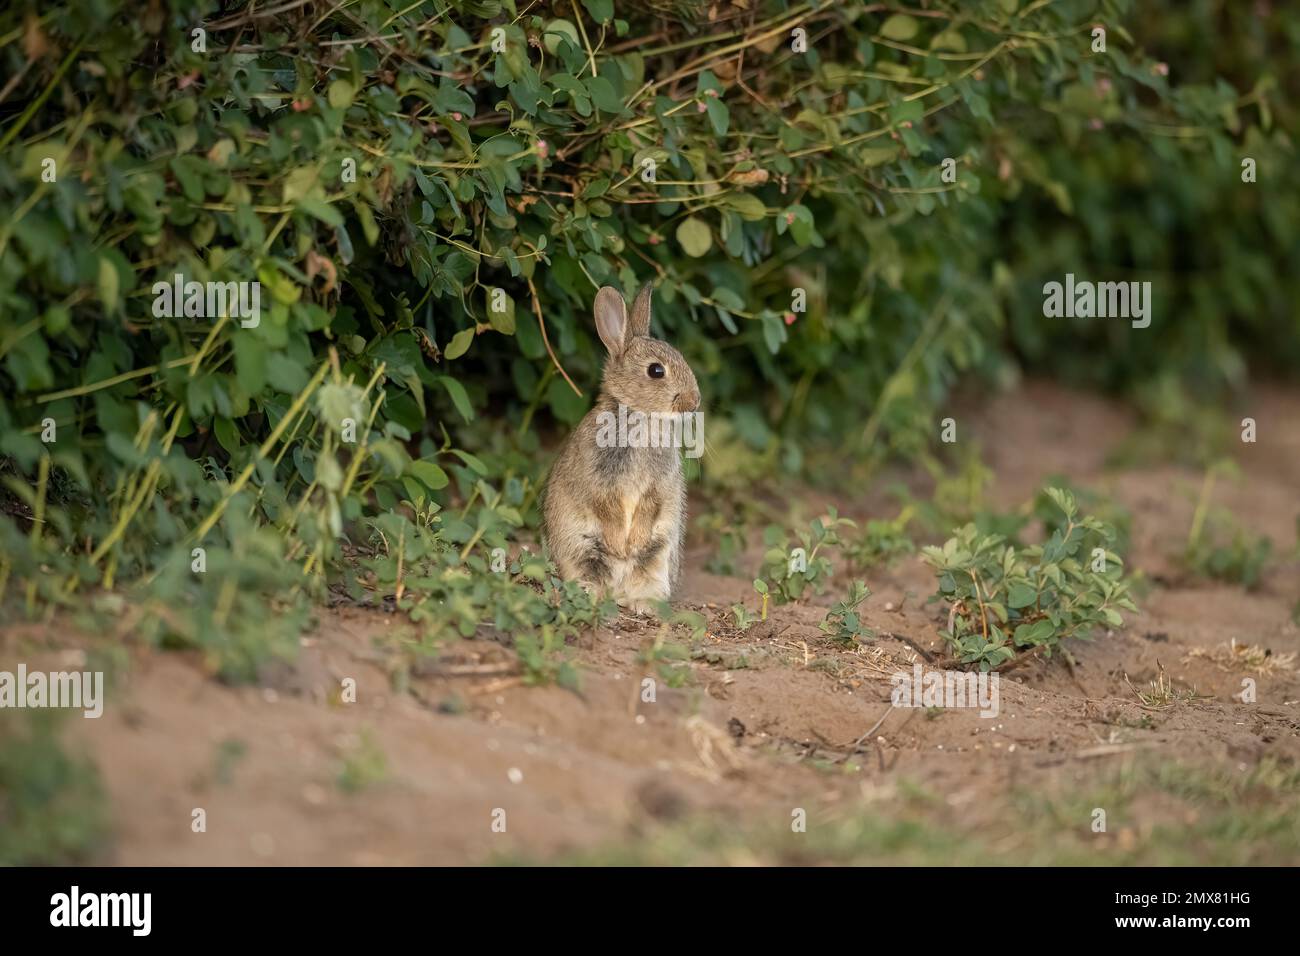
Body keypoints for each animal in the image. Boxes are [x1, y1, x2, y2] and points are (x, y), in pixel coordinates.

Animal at [543, 283, 701, 614]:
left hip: (658, 559)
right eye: (656, 371)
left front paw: (632, 543)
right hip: (580, 550)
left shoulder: (657, 486)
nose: (694, 402)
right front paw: (619, 544)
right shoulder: (598, 480)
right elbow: (606, 507)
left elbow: (649, 506)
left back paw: (642, 604)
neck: (639, 415)